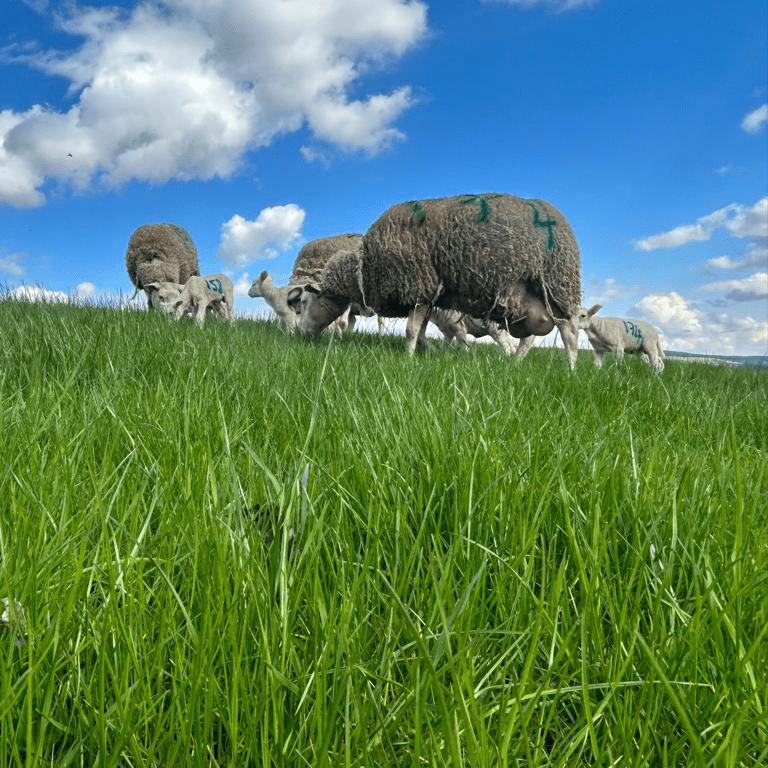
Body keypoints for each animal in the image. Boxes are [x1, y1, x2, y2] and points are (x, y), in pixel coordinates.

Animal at [286, 194, 582, 366]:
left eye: (306, 301)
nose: (302, 334)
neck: (363, 266)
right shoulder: (427, 296)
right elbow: (421, 331)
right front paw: (429, 351)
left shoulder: (418, 285)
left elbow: (410, 330)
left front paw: (407, 359)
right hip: (531, 300)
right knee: (530, 336)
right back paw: (516, 364)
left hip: (559, 283)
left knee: (569, 332)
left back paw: (571, 368)